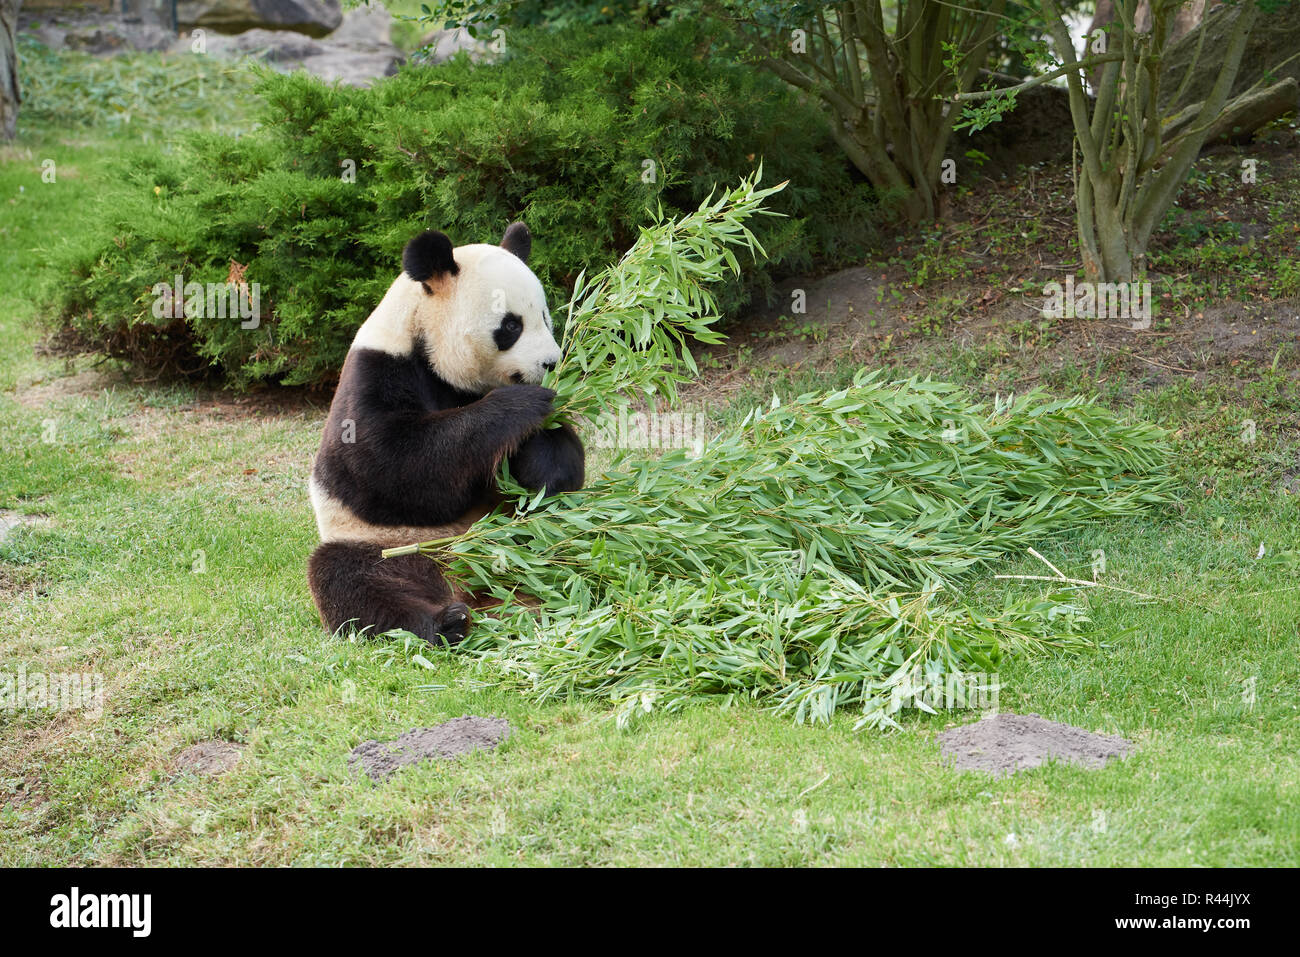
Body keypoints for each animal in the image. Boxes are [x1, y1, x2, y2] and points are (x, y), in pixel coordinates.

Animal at [307, 222, 585, 644]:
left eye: (545, 317)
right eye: (511, 325)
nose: (551, 363)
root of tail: (470, 584)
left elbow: (557, 465)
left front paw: (544, 469)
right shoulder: (377, 372)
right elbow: (389, 466)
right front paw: (522, 404)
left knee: (571, 541)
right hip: (391, 546)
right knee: (353, 579)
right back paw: (445, 622)